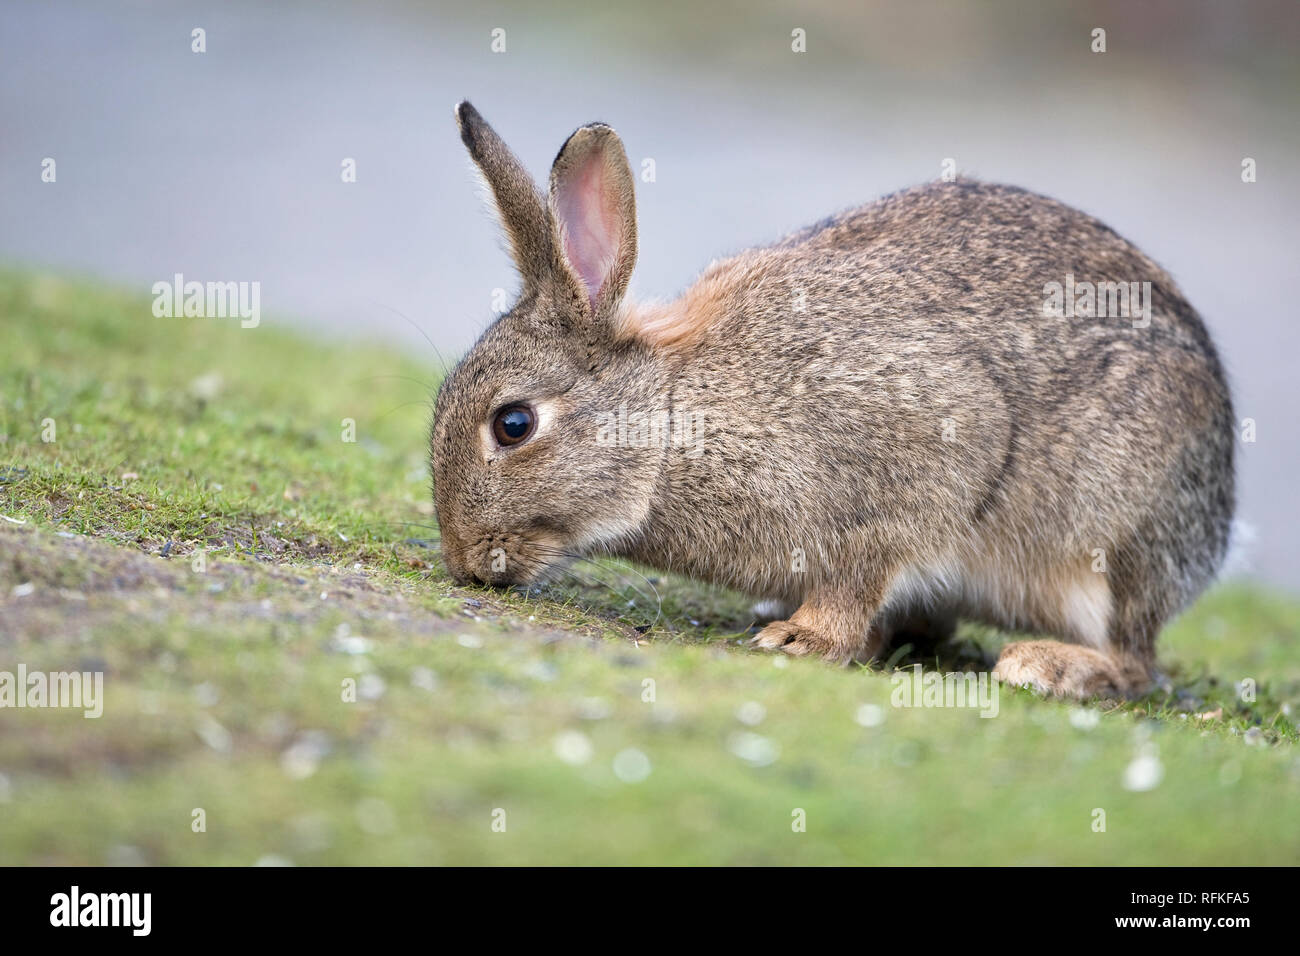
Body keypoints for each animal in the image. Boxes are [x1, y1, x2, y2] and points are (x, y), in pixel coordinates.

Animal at [431, 101, 1236, 700]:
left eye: (512, 424)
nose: (467, 562)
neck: (670, 419)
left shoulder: (921, 459)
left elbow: (864, 568)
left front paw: (803, 638)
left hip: (1113, 541)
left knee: (1135, 660)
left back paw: (1046, 665)